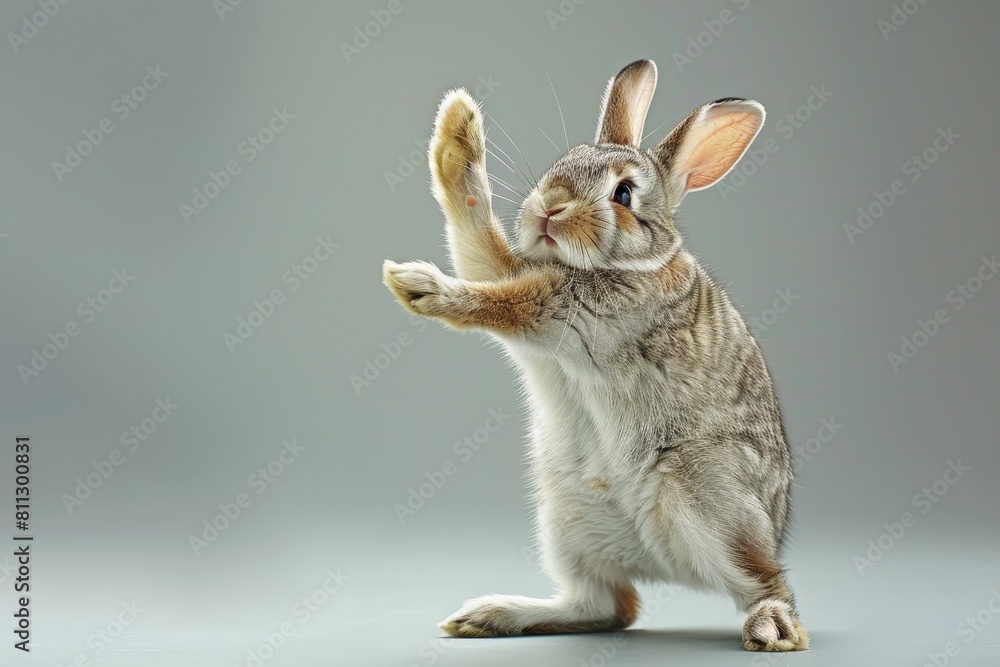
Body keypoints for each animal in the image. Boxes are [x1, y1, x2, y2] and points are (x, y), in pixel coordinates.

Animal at [383, 59, 809, 652]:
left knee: (763, 580)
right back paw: (490, 616)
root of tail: (660, 567)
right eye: (561, 164)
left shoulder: (564, 310)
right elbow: (481, 250)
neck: (628, 264)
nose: (550, 206)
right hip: (566, 520)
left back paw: (771, 628)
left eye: (623, 195)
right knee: (609, 607)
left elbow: (503, 299)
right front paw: (457, 130)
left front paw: (417, 286)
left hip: (700, 492)